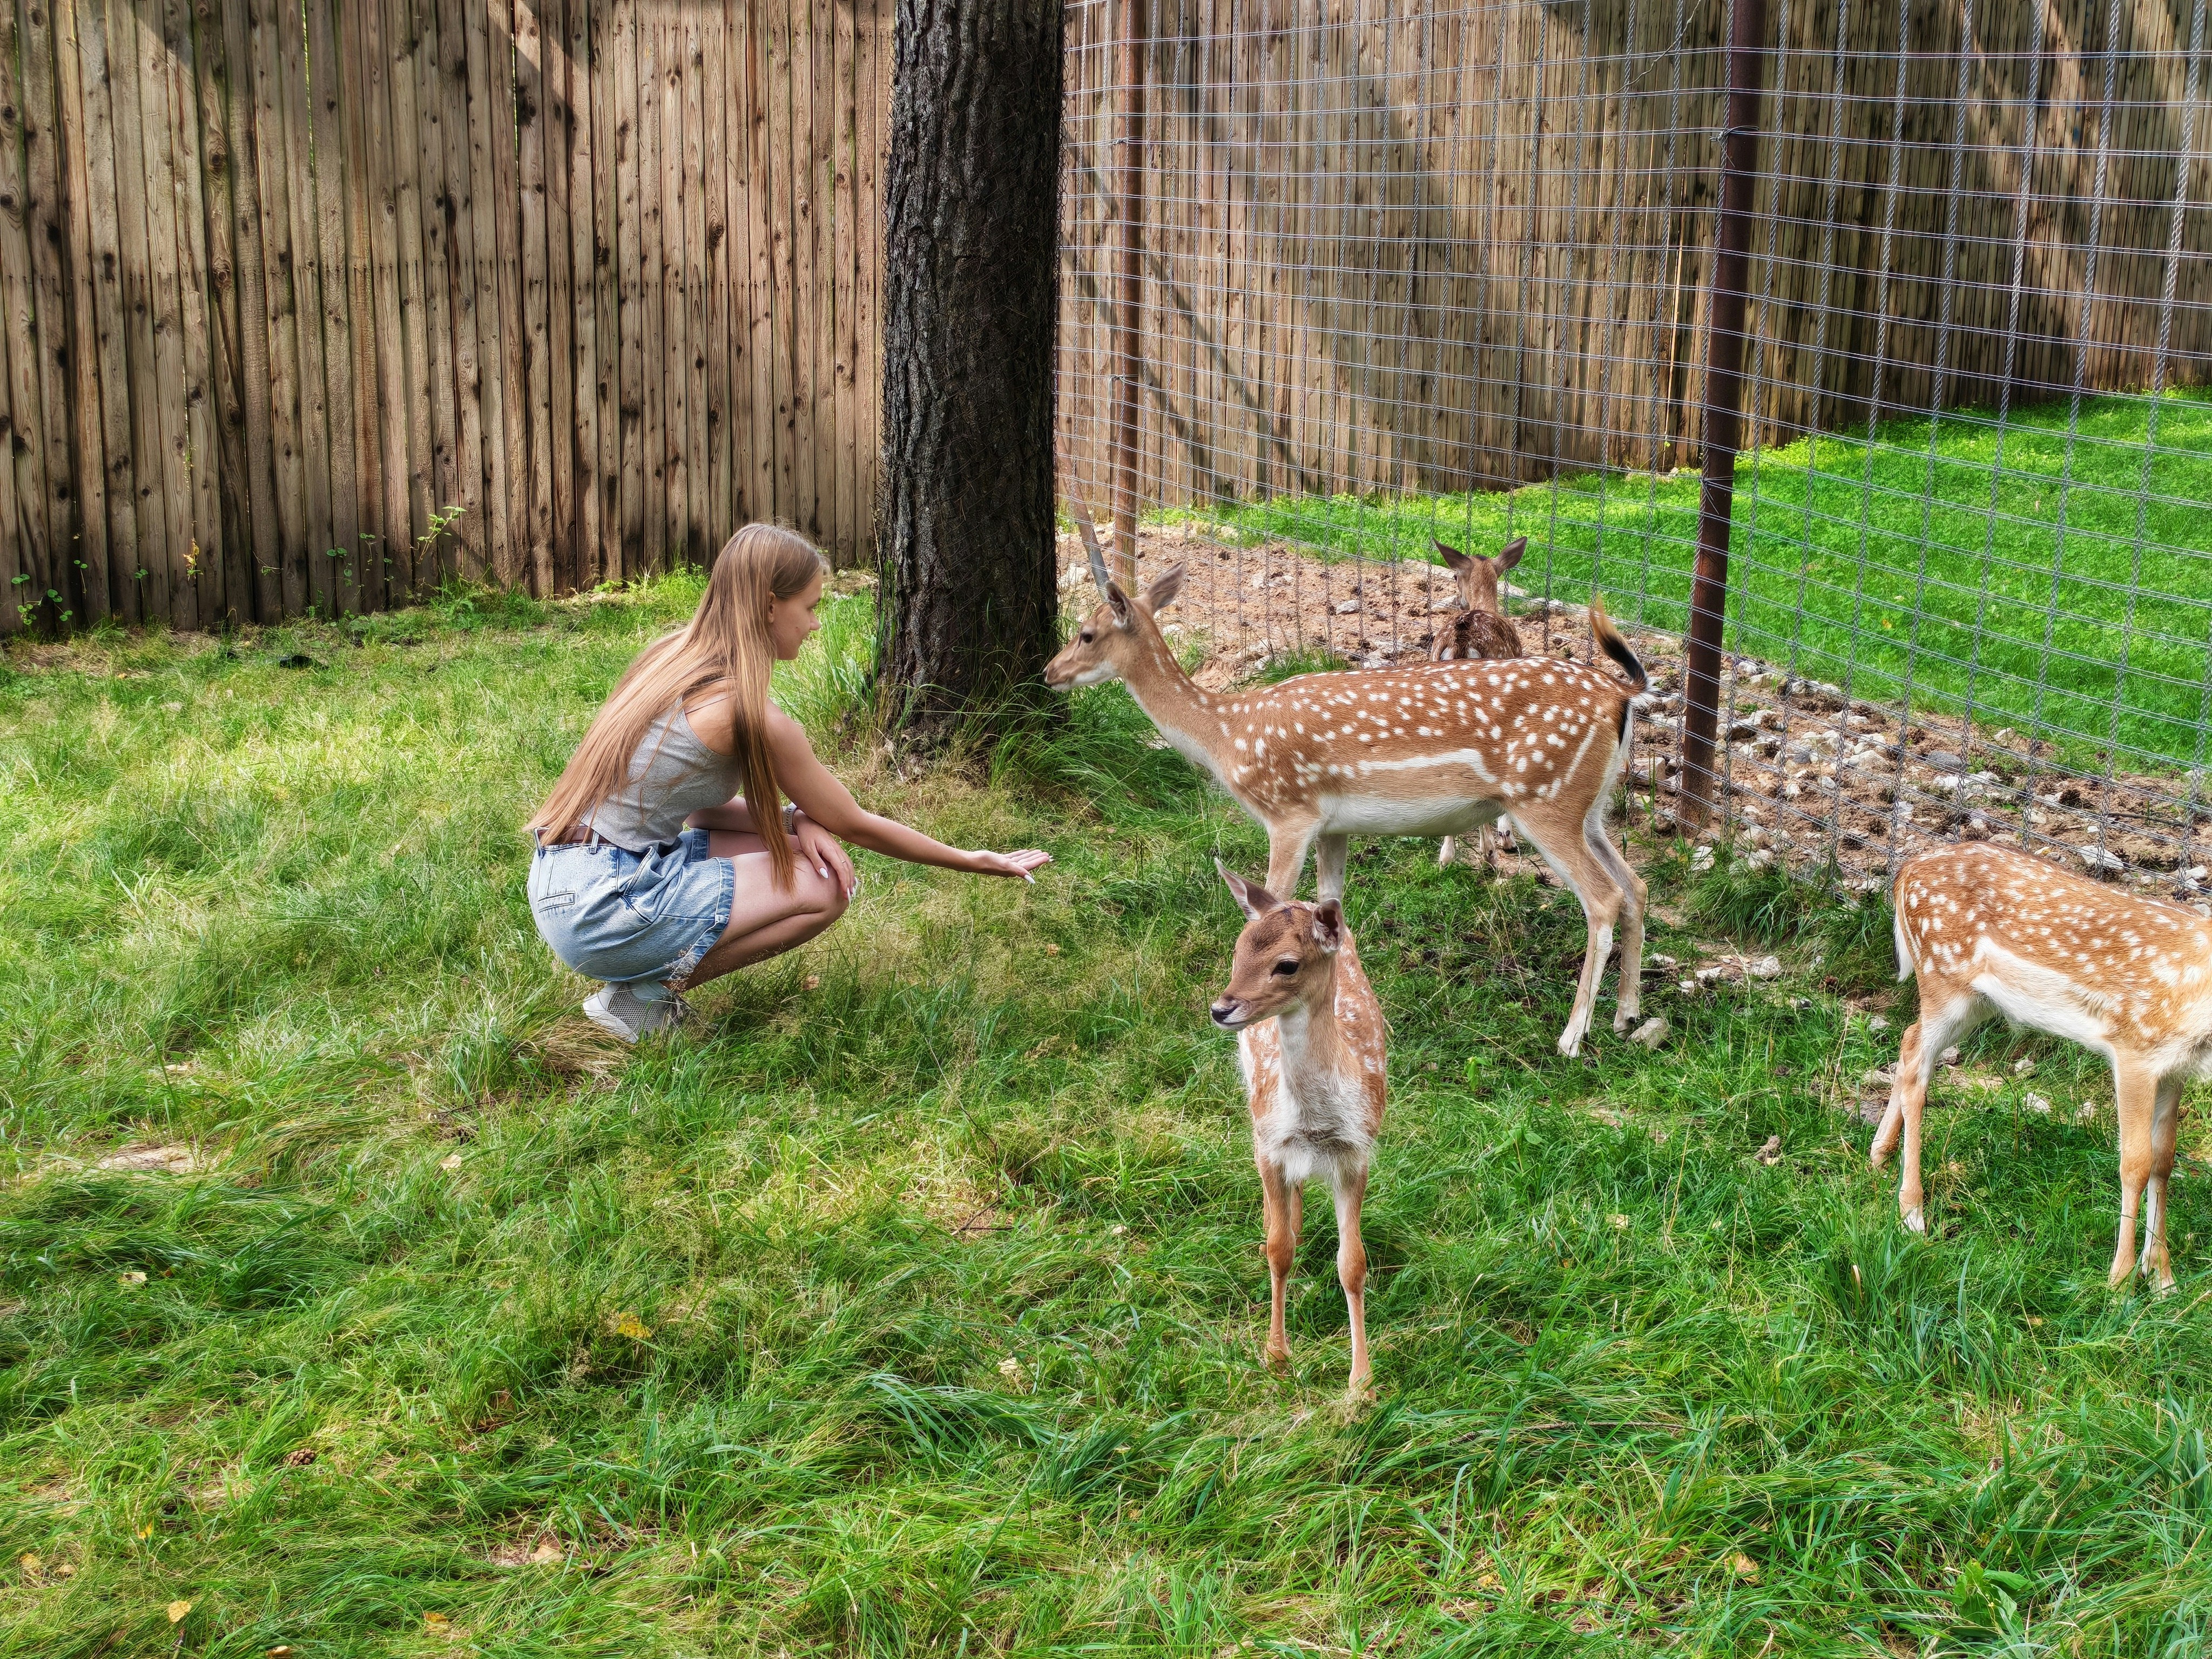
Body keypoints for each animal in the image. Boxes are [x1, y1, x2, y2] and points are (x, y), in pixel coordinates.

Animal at [1210, 862, 1387, 1393]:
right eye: (1237, 951)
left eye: (1286, 965)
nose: (1221, 1009)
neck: (1314, 1121)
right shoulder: (1270, 1142)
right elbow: (1278, 1250)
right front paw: (1276, 1356)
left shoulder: (1356, 1152)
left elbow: (1353, 1263)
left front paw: (1362, 1382)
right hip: (1255, 1109)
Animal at [1878, 842, 2212, 1291]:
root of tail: (1905, 871)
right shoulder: (2135, 1047)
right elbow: (2136, 1163)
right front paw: (2120, 1283)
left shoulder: (2176, 1068)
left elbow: (2164, 1160)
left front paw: (2162, 1280)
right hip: (1942, 977)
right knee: (1917, 1063)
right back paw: (1913, 1215)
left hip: (1975, 1000)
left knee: (1909, 1041)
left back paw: (1878, 1157)